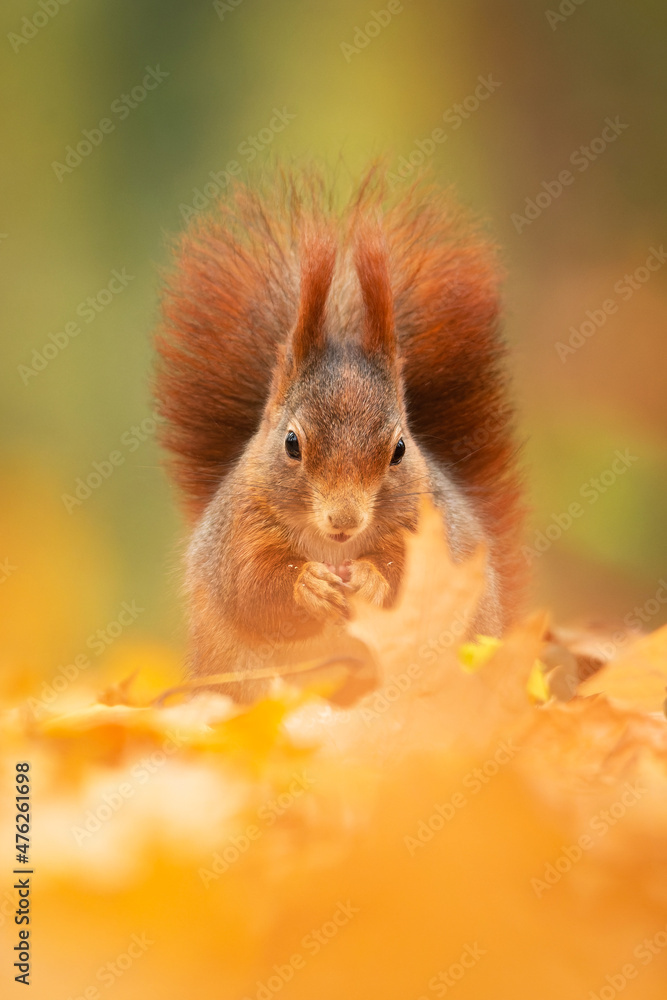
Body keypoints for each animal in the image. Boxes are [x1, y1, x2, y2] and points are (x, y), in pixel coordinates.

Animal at [155, 168, 525, 700]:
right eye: (291, 443)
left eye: (399, 449)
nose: (344, 520)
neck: (333, 548)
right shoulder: (240, 527)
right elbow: (251, 587)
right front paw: (306, 586)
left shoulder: (428, 526)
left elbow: (410, 574)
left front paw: (370, 580)